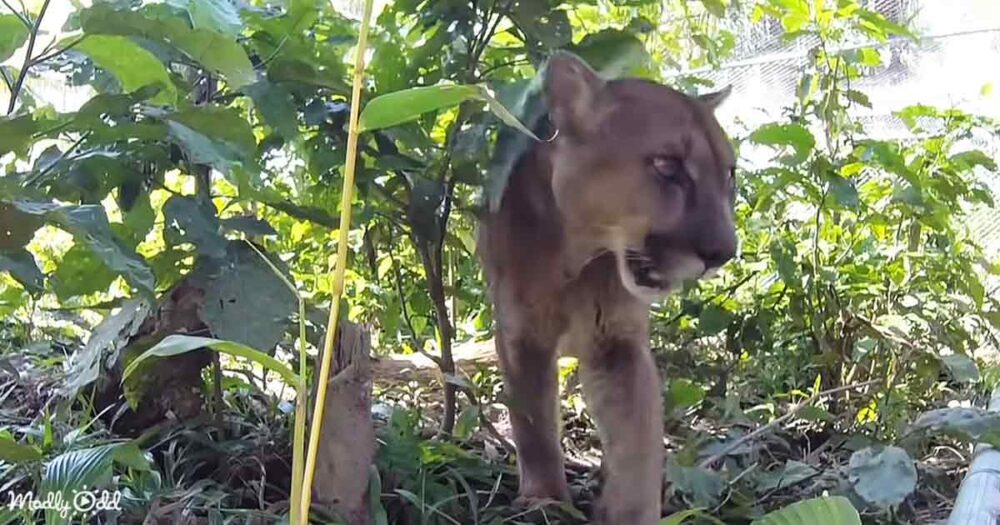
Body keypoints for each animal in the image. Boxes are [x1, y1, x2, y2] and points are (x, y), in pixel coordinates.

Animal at [477, 52, 738, 524]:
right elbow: (534, 423)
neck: (577, 255)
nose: (723, 253)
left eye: (729, 176)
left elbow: (638, 441)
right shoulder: (522, 333)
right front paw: (544, 500)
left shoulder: (615, 341)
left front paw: (631, 511)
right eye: (667, 165)